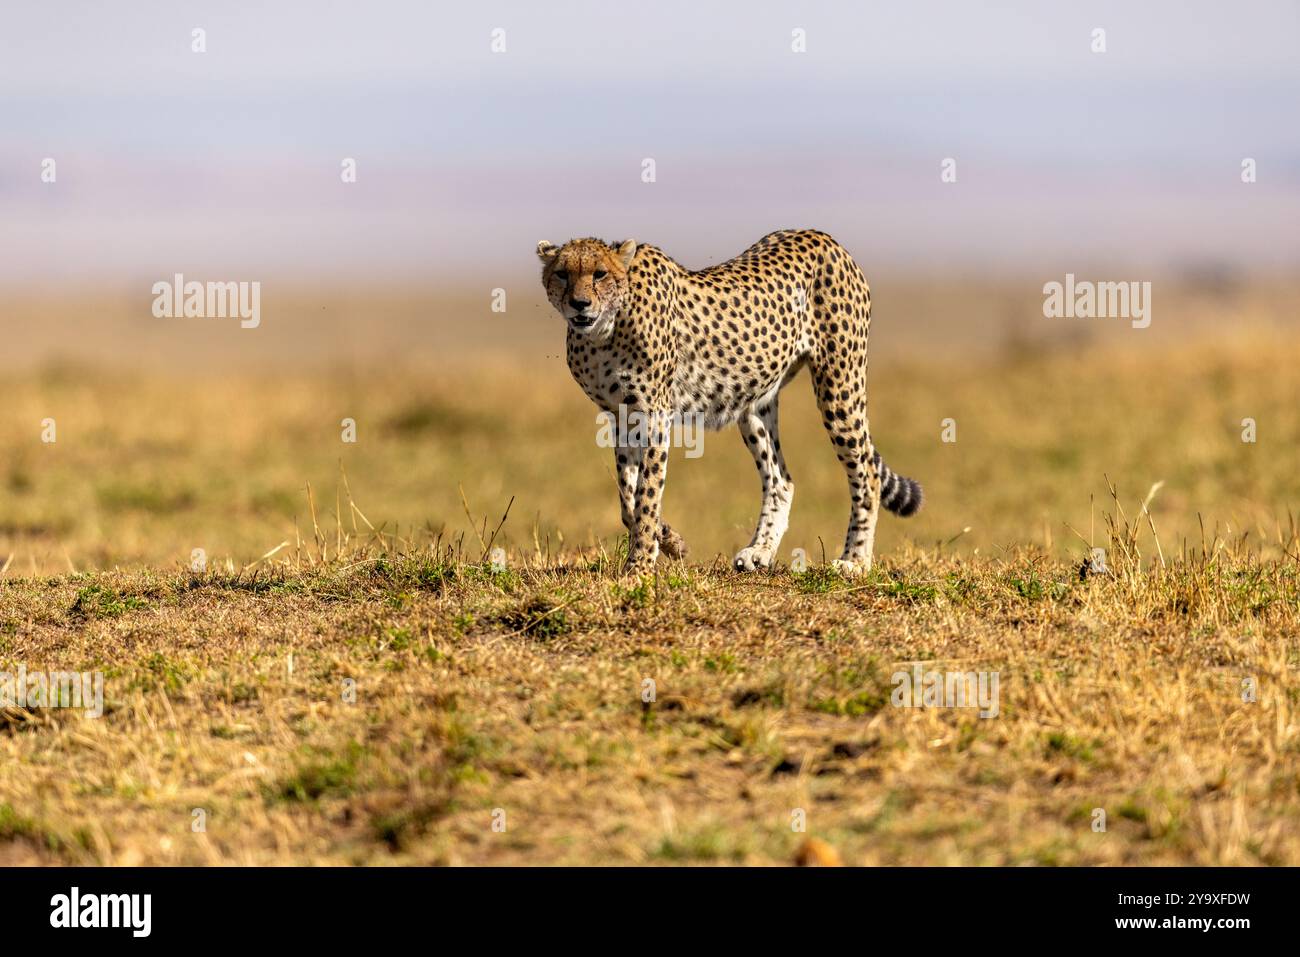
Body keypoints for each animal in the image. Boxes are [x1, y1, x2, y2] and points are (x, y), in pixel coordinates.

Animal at [536, 228, 922, 578]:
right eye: (562, 273)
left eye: (600, 274)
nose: (580, 304)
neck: (605, 331)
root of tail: (822, 236)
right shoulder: (621, 416)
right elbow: (628, 498)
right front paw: (670, 541)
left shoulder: (656, 415)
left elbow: (646, 495)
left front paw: (640, 565)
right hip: (754, 403)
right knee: (780, 479)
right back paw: (760, 552)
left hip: (840, 386)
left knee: (867, 474)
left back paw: (855, 561)